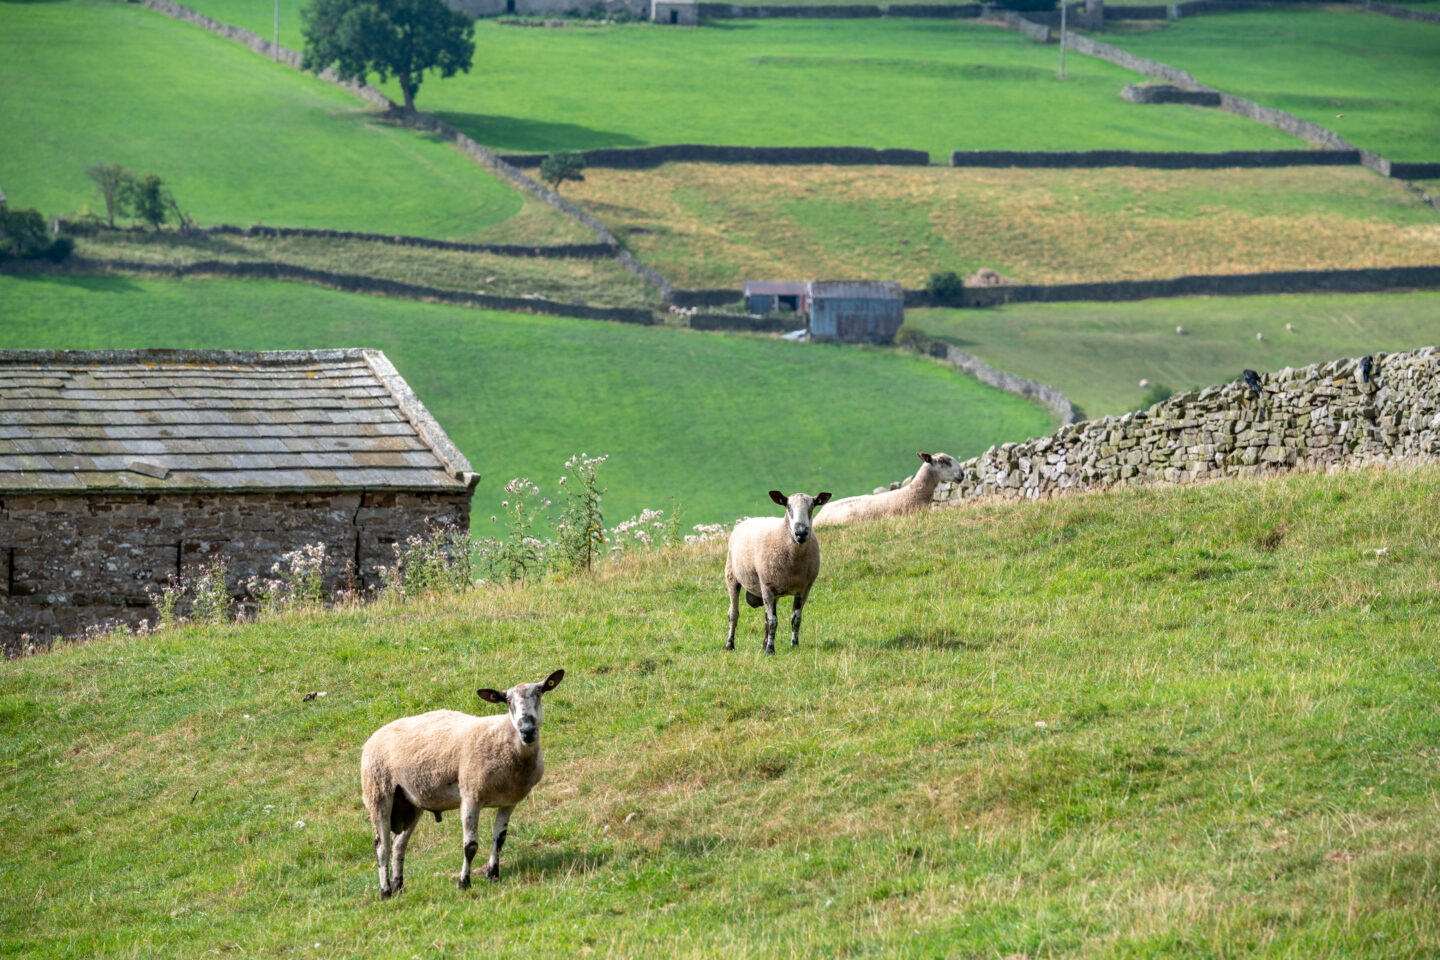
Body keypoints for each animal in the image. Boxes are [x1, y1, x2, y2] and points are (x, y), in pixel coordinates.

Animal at [360, 669, 565, 898]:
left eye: (539, 693)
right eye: (508, 701)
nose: (527, 730)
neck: (503, 737)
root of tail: (371, 738)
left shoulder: (508, 802)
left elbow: (499, 839)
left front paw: (493, 875)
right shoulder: (470, 796)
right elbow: (470, 846)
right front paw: (463, 882)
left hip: (409, 802)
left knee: (398, 845)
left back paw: (398, 886)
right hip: (378, 793)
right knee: (382, 846)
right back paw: (385, 891)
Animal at [725, 489, 831, 655]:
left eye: (812, 506)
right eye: (788, 506)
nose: (801, 532)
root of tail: (746, 520)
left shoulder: (804, 589)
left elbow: (796, 619)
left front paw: (794, 645)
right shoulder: (767, 585)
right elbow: (773, 621)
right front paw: (770, 650)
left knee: (766, 616)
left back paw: (764, 643)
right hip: (732, 575)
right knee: (733, 614)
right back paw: (730, 645)